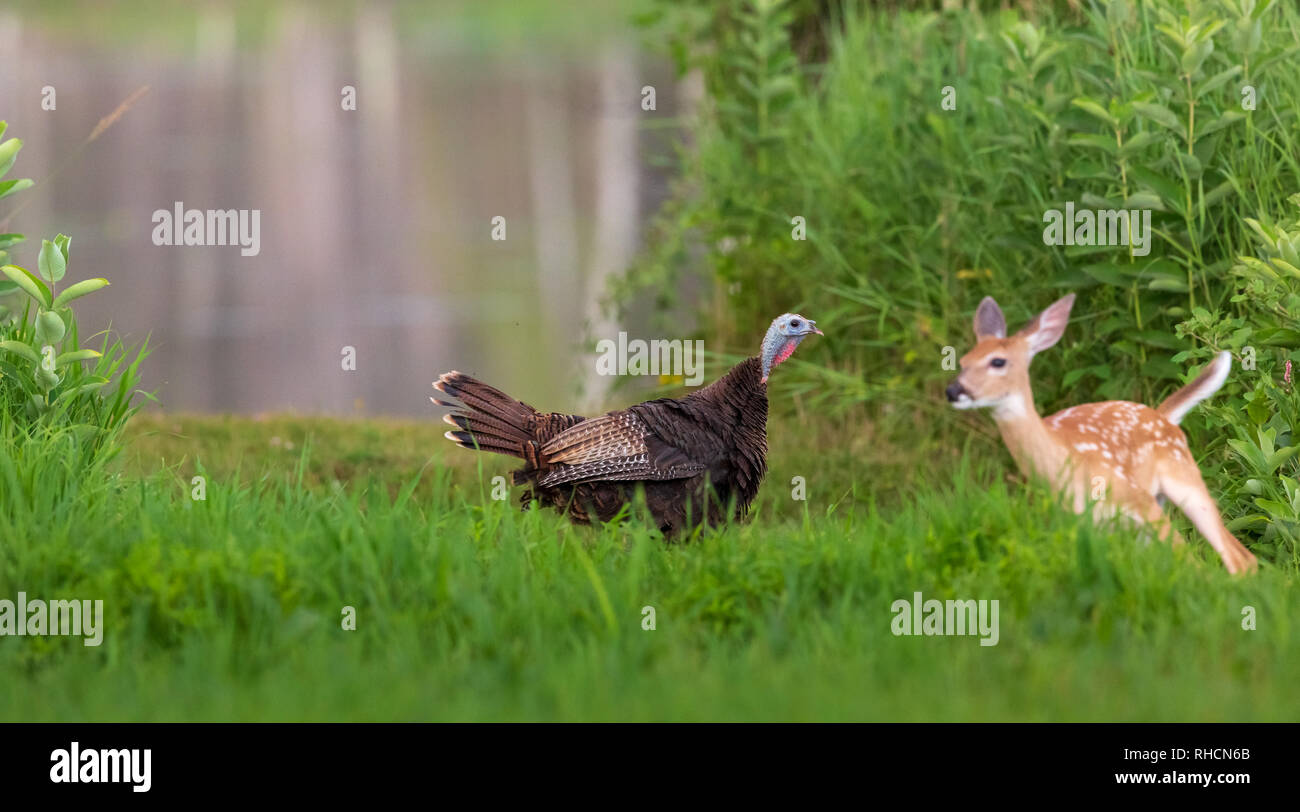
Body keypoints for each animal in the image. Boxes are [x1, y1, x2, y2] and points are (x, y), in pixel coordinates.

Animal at [945, 293, 1257, 575]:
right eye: (962, 362)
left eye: (998, 361)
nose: (953, 390)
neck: (1064, 466)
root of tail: (1161, 414)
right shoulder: (1079, 525)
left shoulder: (1137, 500)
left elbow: (1192, 563)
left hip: (1181, 477)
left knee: (1239, 558)